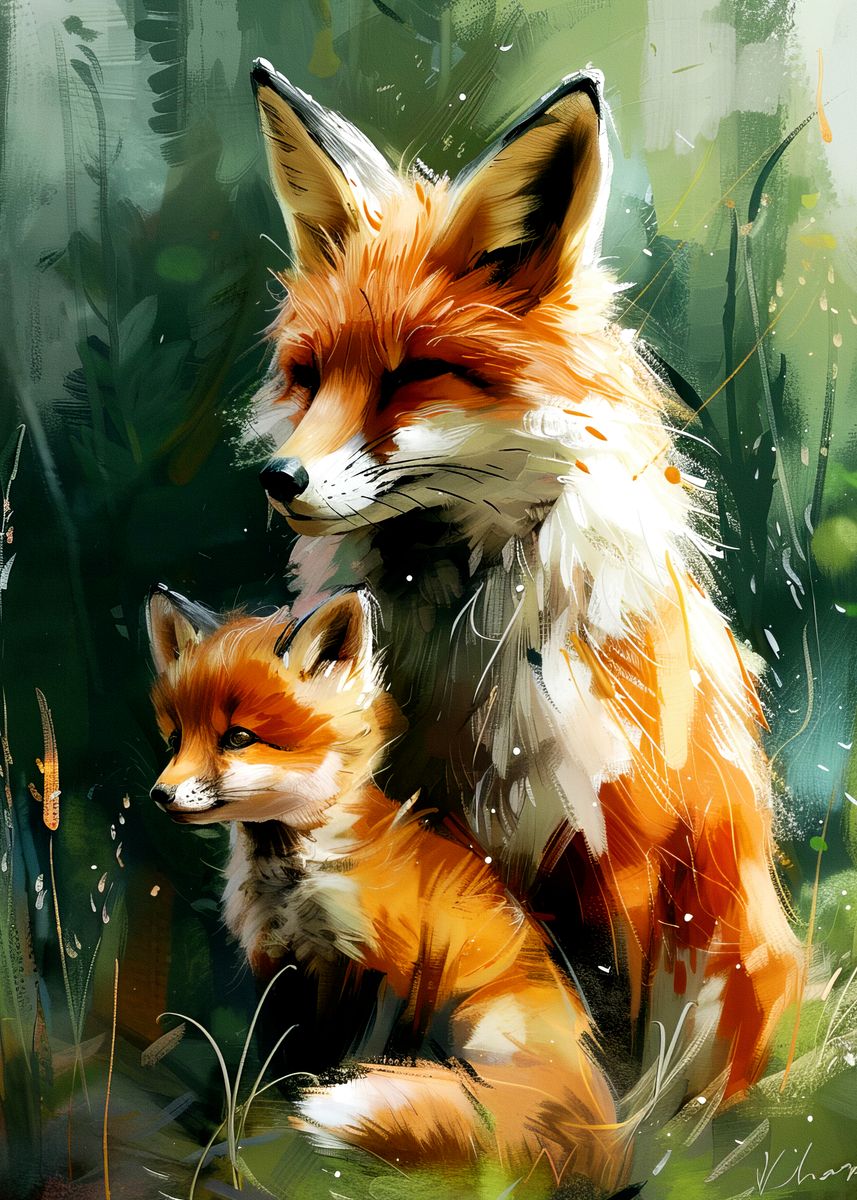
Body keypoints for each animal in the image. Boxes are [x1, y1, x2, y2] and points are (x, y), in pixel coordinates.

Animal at [145, 583, 628, 1186]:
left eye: (238, 737)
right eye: (174, 739)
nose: (160, 795)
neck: (295, 881)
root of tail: (603, 1132)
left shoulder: (383, 961)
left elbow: (348, 1055)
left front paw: (296, 1116)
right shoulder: (278, 959)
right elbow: (283, 1052)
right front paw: (262, 1107)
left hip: (481, 1025)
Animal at [244, 60, 803, 1096]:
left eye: (412, 375)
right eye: (308, 375)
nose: (280, 480)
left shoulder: (612, 846)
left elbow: (617, 1049)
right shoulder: (417, 847)